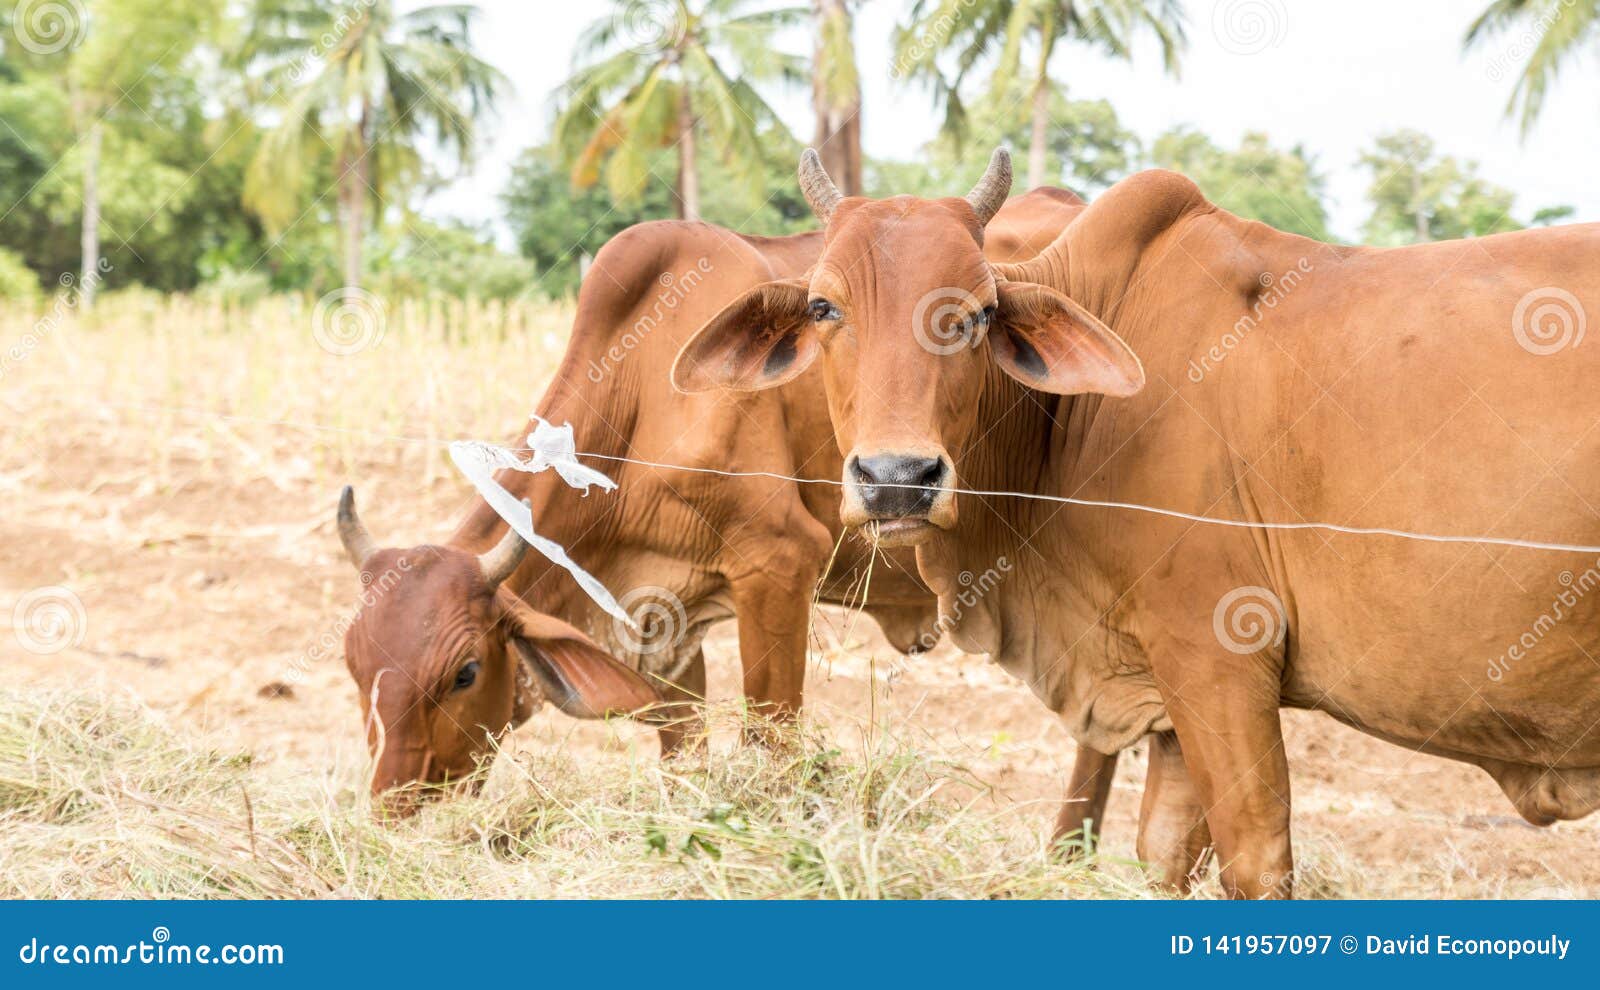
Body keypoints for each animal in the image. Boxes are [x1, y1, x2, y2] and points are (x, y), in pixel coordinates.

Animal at [338, 191, 1125, 834]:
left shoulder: (778, 566)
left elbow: (772, 740)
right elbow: (684, 755)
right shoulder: (663, 610)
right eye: (354, 665)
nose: (394, 816)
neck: (642, 391)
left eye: (466, 672)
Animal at [672, 147, 1600, 897]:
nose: (897, 479)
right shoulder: (1169, 687)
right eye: (824, 308)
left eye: (975, 312)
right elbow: (1163, 856)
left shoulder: (1219, 652)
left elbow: (1257, 863)